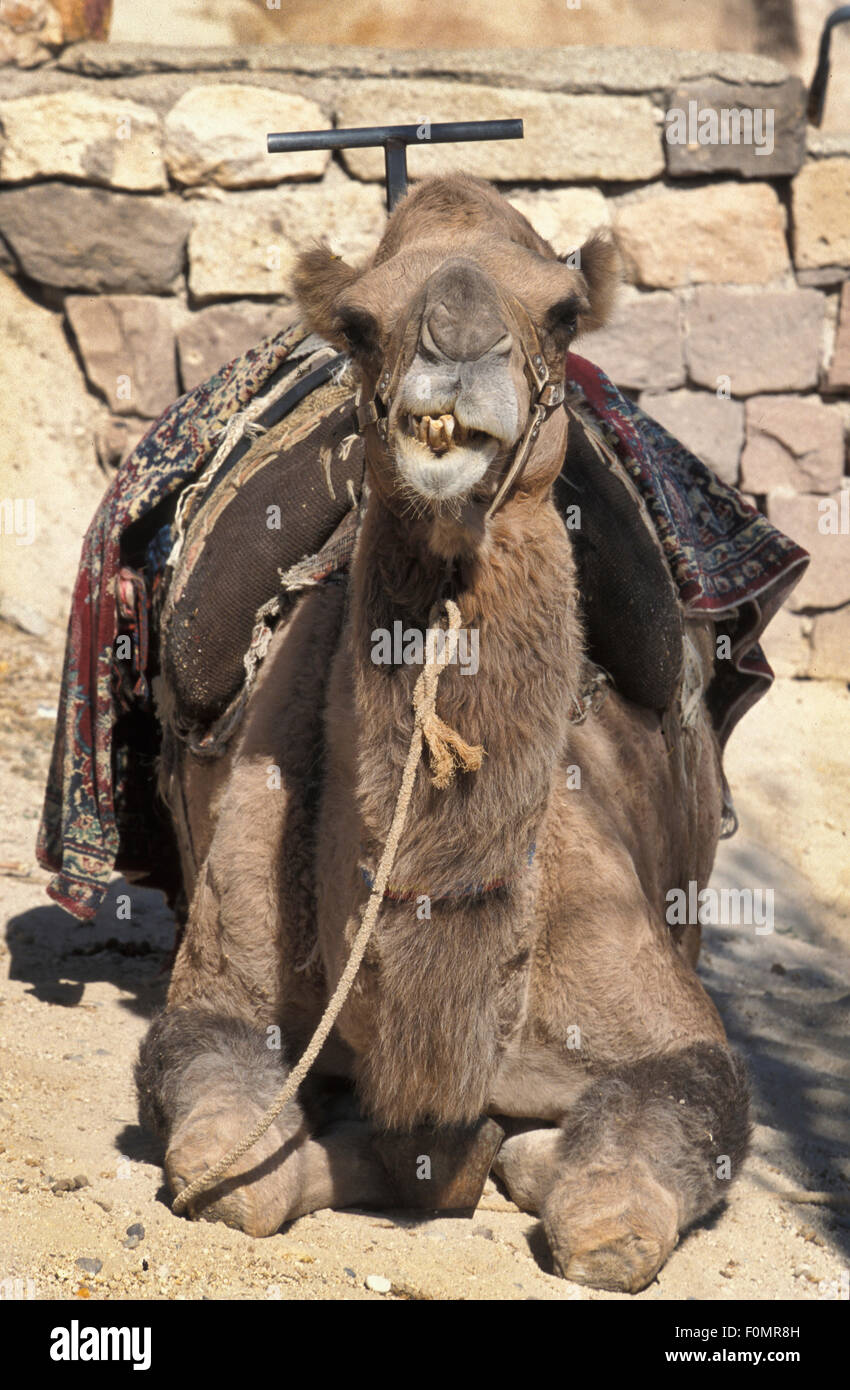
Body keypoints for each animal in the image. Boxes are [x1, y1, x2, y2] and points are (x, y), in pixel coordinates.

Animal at [136, 174, 750, 1294]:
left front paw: (524, 1158)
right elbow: (231, 1174)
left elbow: (611, 1223)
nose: (458, 347)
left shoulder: (670, 1032)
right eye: (359, 322)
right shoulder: (220, 1002)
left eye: (561, 312)